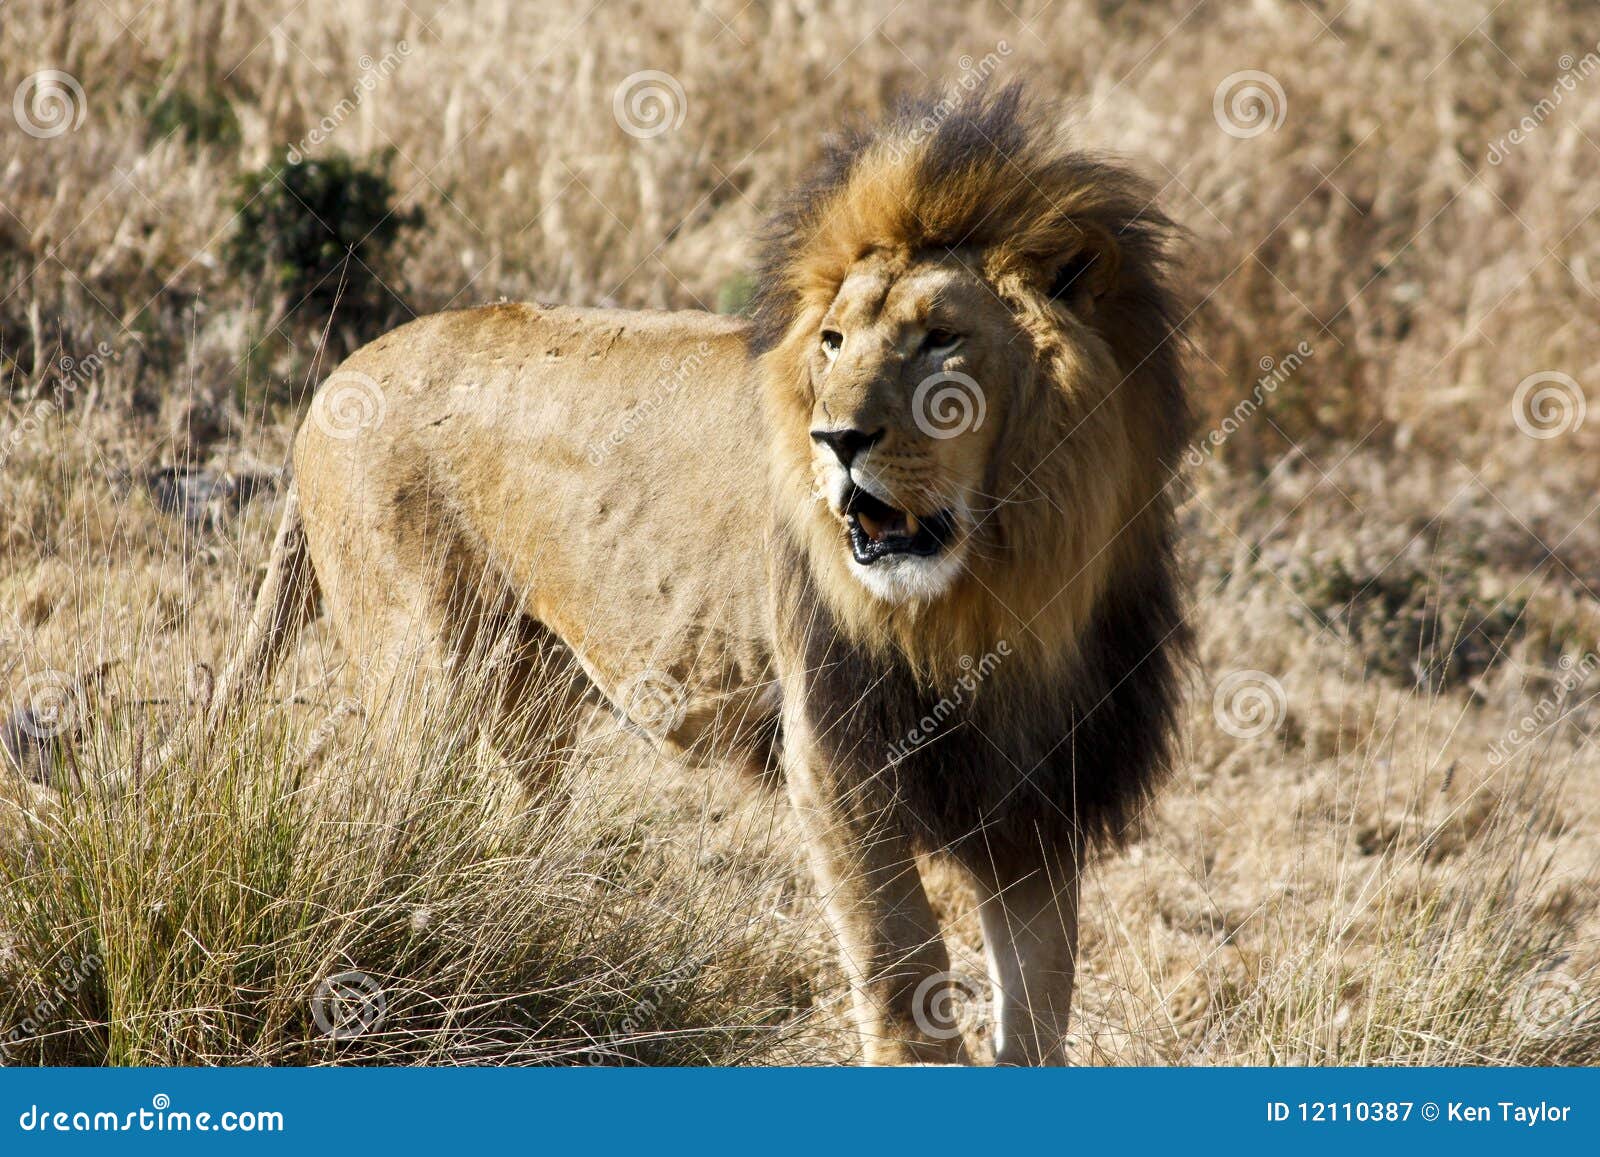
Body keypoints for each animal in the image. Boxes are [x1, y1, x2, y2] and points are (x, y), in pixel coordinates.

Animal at [188, 85, 1190, 1065]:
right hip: (426, 676)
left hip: (532, 694)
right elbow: (903, 982)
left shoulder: (1045, 786)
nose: (836, 439)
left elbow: (1040, 1010)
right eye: (832, 342)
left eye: (942, 338)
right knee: (389, 820)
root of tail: (337, 379)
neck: (998, 590)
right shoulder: (838, 752)